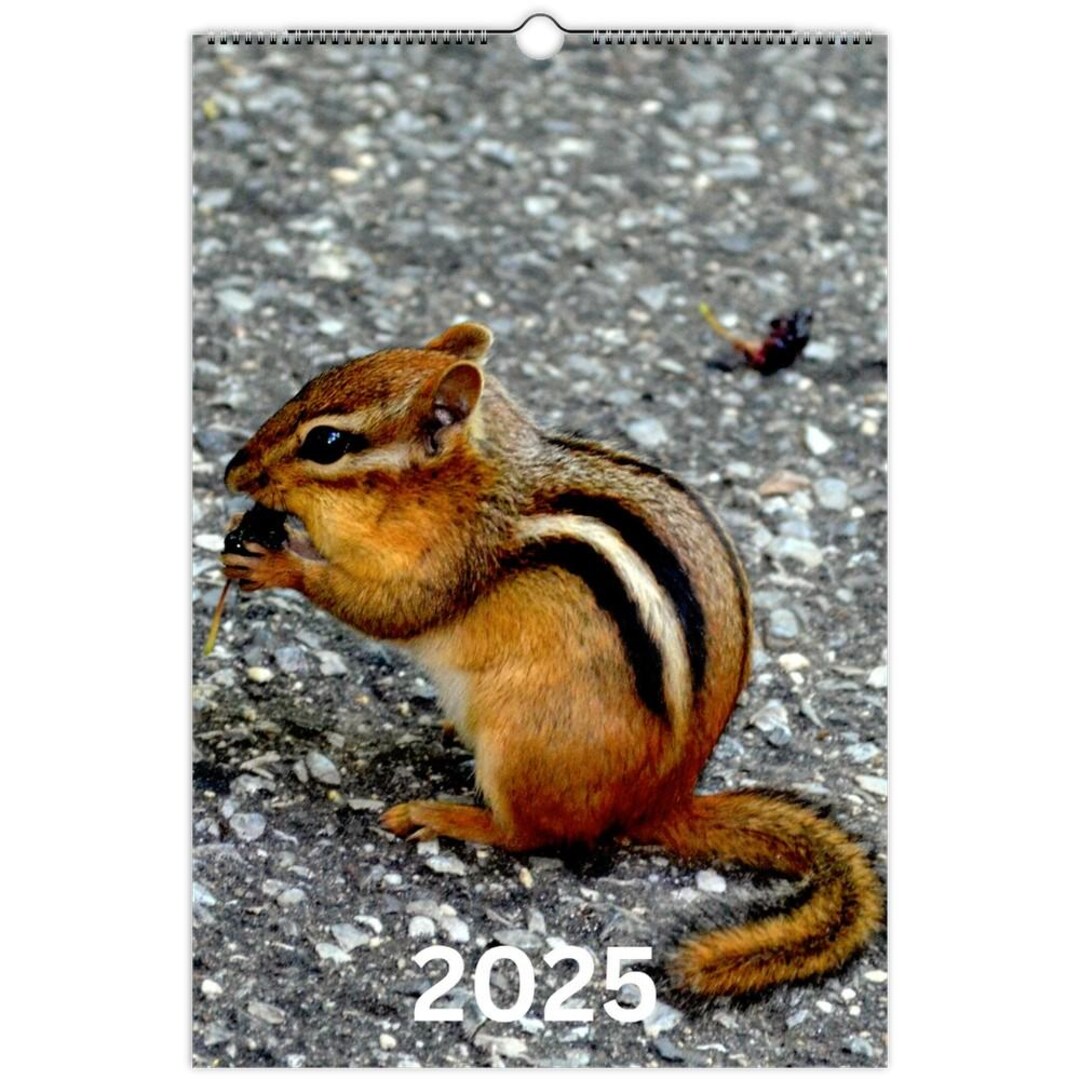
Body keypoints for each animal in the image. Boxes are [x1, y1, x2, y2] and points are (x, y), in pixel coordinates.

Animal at [221, 322, 883, 996]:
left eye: (326, 442)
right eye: (304, 385)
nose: (232, 471)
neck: (468, 481)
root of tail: (663, 802)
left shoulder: (451, 562)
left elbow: (389, 610)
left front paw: (279, 562)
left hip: (522, 743)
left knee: (530, 836)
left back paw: (446, 815)